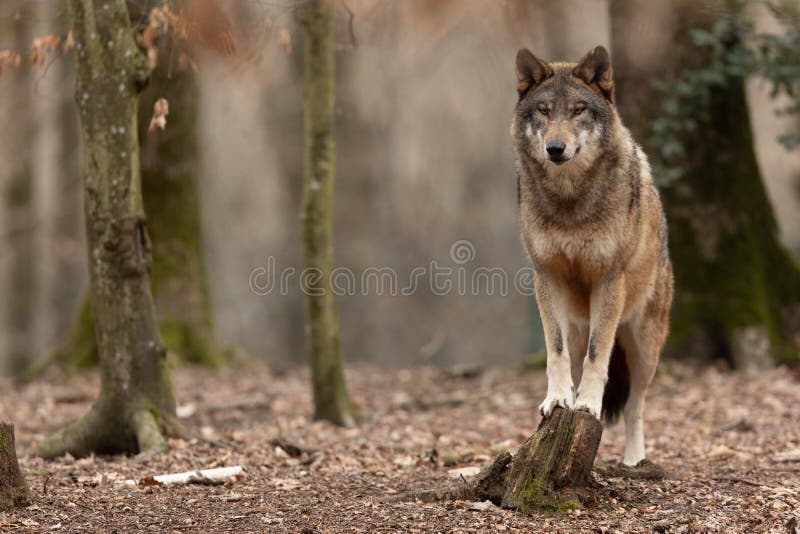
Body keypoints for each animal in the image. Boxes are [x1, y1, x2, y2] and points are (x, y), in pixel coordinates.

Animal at [511, 45, 673, 466]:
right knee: (575, 356)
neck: (570, 202)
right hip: (578, 324)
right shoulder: (546, 277)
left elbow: (598, 358)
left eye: (578, 110)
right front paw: (557, 400)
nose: (555, 149)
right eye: (544, 111)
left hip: (643, 346)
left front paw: (587, 406)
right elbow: (555, 352)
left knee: (635, 406)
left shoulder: (608, 280)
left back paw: (634, 461)